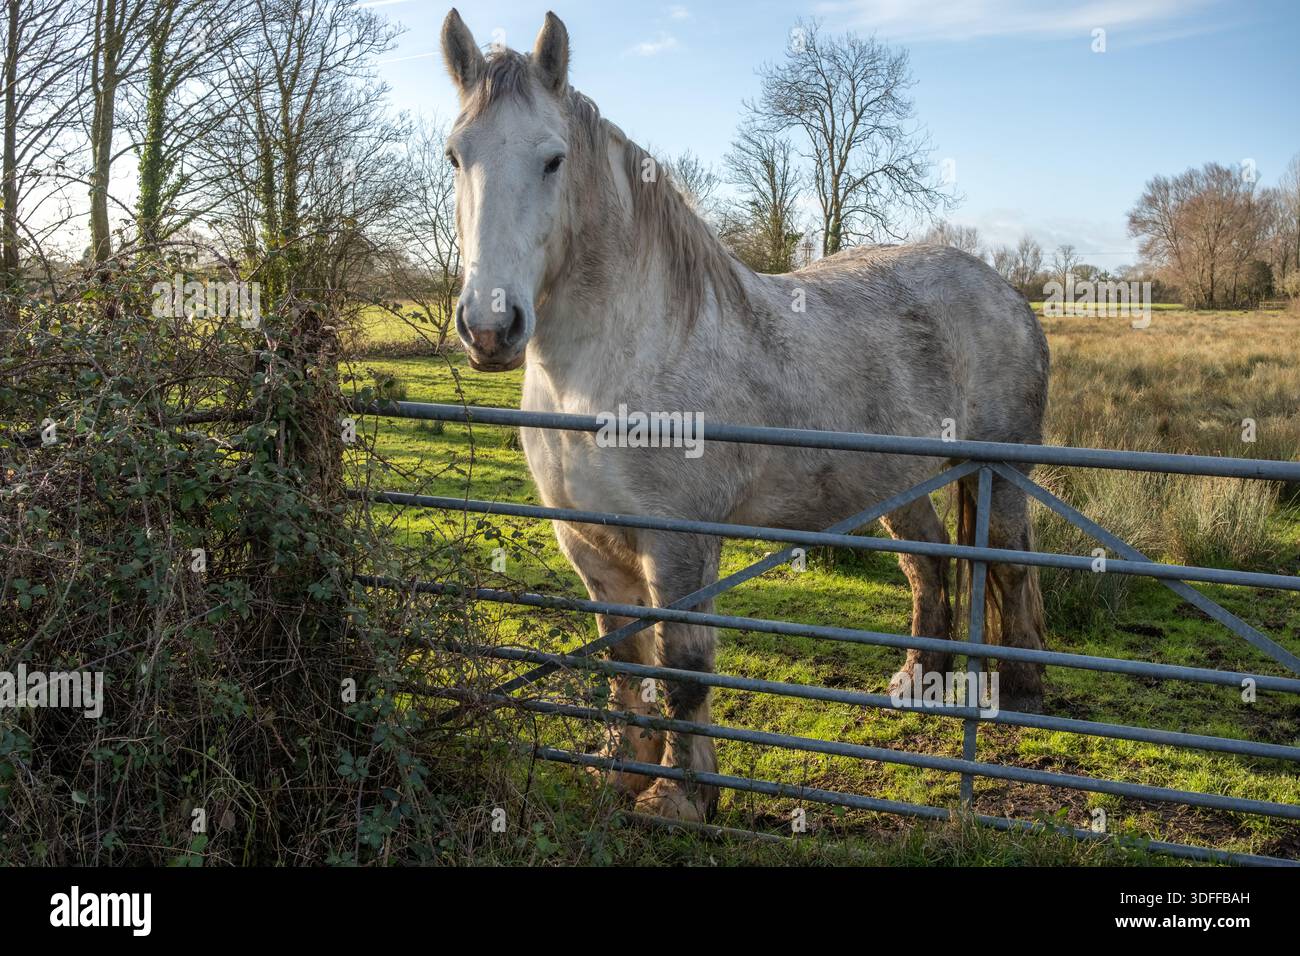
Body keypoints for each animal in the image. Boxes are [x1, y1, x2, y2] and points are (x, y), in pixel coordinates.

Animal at [439, 9, 1050, 822]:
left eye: (552, 160)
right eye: (456, 155)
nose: (490, 327)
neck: (619, 359)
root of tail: (1003, 288)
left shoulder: (679, 544)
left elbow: (684, 668)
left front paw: (682, 797)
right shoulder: (590, 544)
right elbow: (624, 661)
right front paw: (621, 775)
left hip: (1004, 469)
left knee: (1009, 562)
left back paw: (1023, 690)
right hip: (898, 485)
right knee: (930, 567)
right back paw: (917, 683)